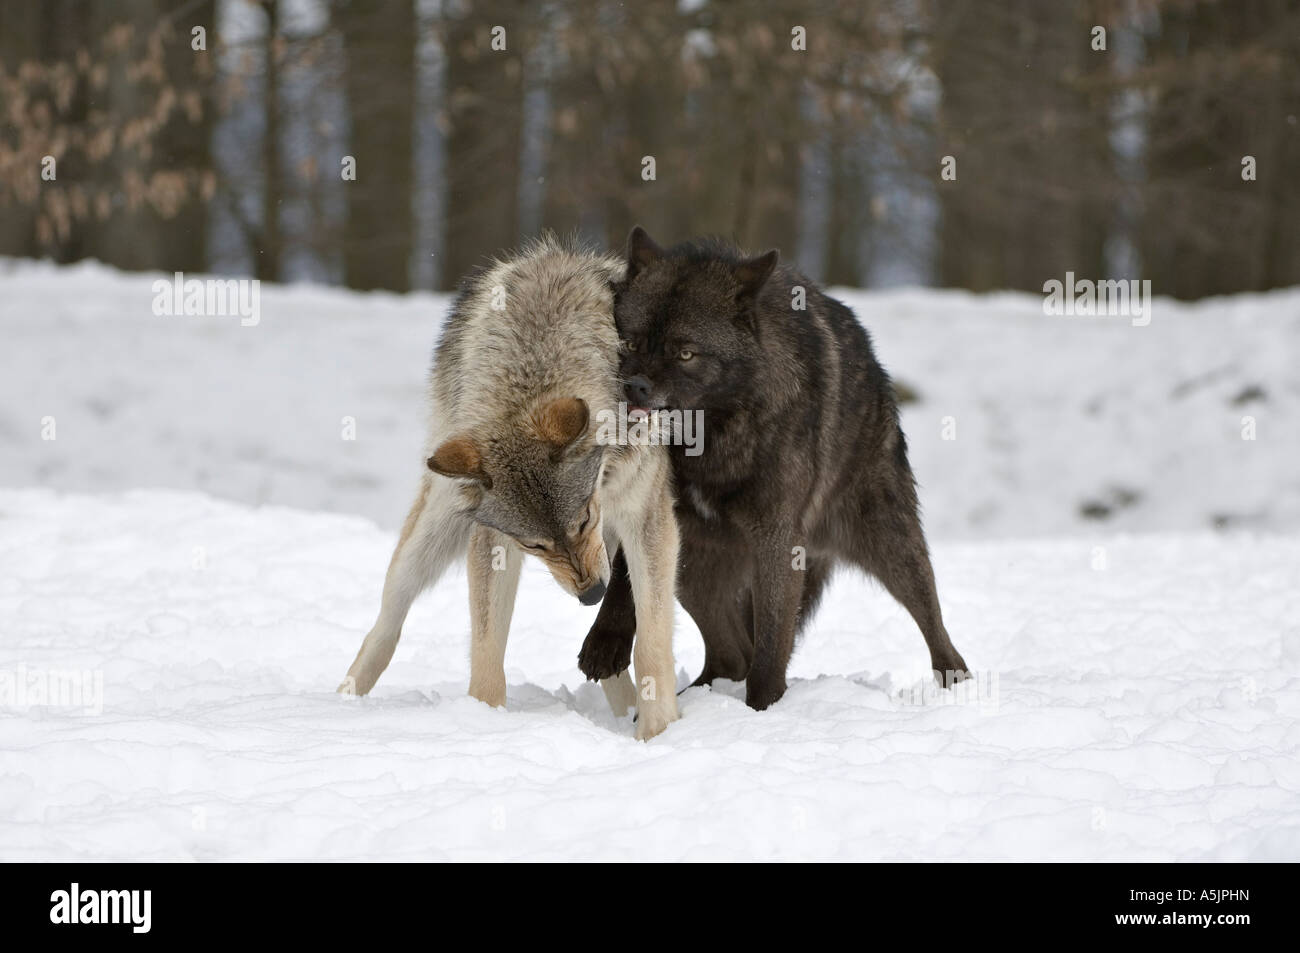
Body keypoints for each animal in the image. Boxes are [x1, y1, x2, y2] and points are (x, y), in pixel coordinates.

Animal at [340, 236, 680, 740]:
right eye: (535, 545)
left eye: (584, 519)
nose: (591, 594)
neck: (532, 367)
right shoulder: (494, 540)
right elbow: (487, 655)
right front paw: (484, 723)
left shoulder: (645, 518)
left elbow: (652, 643)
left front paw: (660, 734)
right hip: (435, 527)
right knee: (385, 624)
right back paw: (341, 703)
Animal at [578, 227, 970, 711]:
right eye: (629, 343)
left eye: (686, 353)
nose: (633, 387)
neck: (708, 441)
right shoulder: (655, 513)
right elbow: (622, 581)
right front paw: (605, 643)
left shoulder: (777, 538)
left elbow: (770, 648)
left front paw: (763, 709)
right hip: (693, 572)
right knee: (731, 655)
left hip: (891, 546)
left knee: (936, 628)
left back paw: (958, 685)